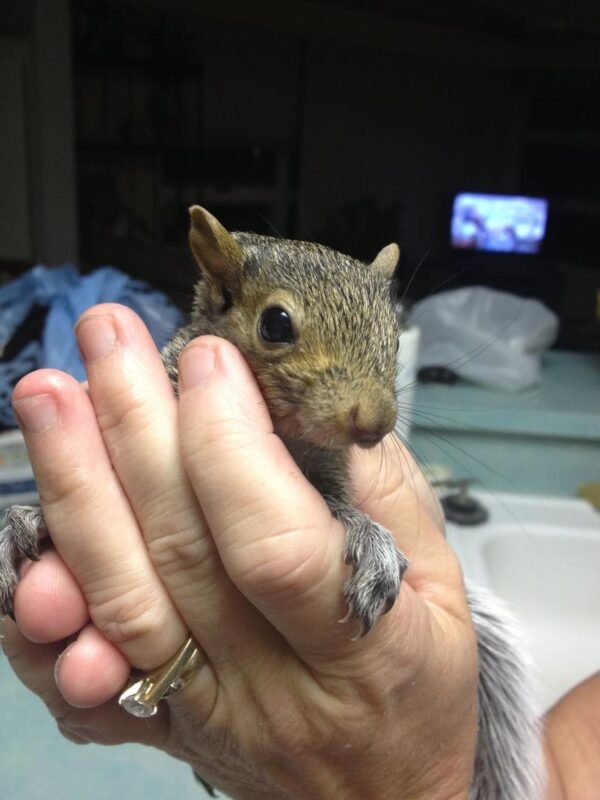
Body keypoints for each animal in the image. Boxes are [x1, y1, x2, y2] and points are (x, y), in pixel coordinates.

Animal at [0, 206, 543, 799]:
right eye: (276, 325)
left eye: (396, 340)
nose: (374, 424)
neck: (289, 436)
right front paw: (27, 520)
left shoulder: (329, 474)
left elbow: (341, 508)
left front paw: (372, 542)